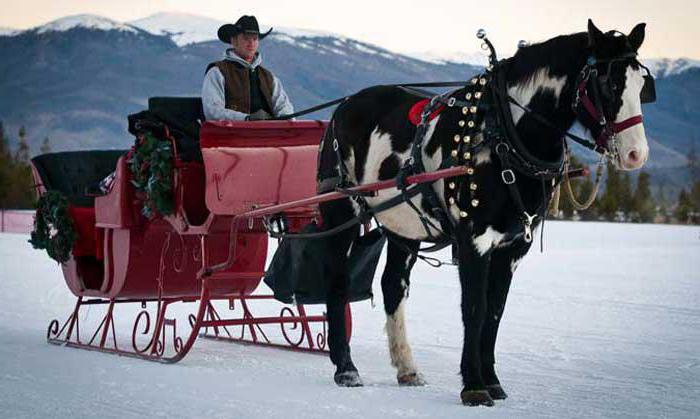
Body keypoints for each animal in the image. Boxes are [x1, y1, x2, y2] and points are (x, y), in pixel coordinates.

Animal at [314, 20, 652, 406]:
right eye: (609, 83)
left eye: (643, 83)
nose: (636, 154)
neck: (504, 134)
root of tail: (345, 105)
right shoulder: (473, 240)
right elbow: (473, 310)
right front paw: (473, 385)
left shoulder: (513, 246)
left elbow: (494, 314)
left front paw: (492, 381)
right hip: (341, 211)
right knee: (338, 282)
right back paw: (345, 367)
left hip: (404, 226)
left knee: (393, 286)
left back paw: (407, 367)